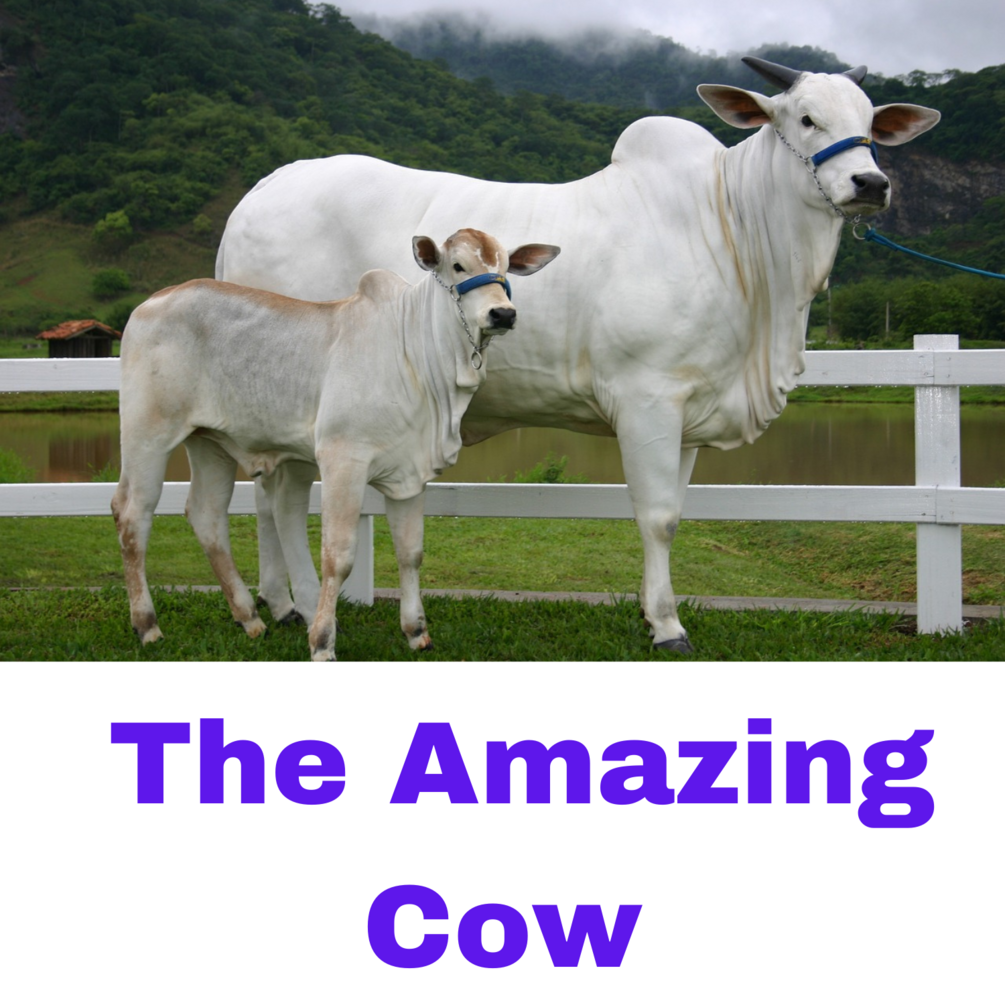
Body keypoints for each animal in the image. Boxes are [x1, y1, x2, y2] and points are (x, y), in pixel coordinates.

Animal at [112, 229, 560, 660]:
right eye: (457, 265)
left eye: (505, 267)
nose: (503, 313)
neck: (418, 356)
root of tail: (152, 302)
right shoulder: (343, 460)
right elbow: (338, 556)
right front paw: (322, 642)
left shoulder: (411, 473)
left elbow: (410, 552)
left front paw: (416, 632)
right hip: (147, 433)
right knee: (132, 513)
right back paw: (147, 625)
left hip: (210, 443)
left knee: (206, 515)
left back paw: (250, 619)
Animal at [216, 57, 940, 653]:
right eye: (806, 118)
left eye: (870, 125)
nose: (869, 182)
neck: (736, 231)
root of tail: (258, 194)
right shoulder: (648, 397)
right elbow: (656, 517)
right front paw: (668, 625)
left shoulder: (689, 409)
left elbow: (674, 512)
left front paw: (652, 612)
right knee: (282, 499)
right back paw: (297, 605)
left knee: (270, 496)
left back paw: (282, 604)